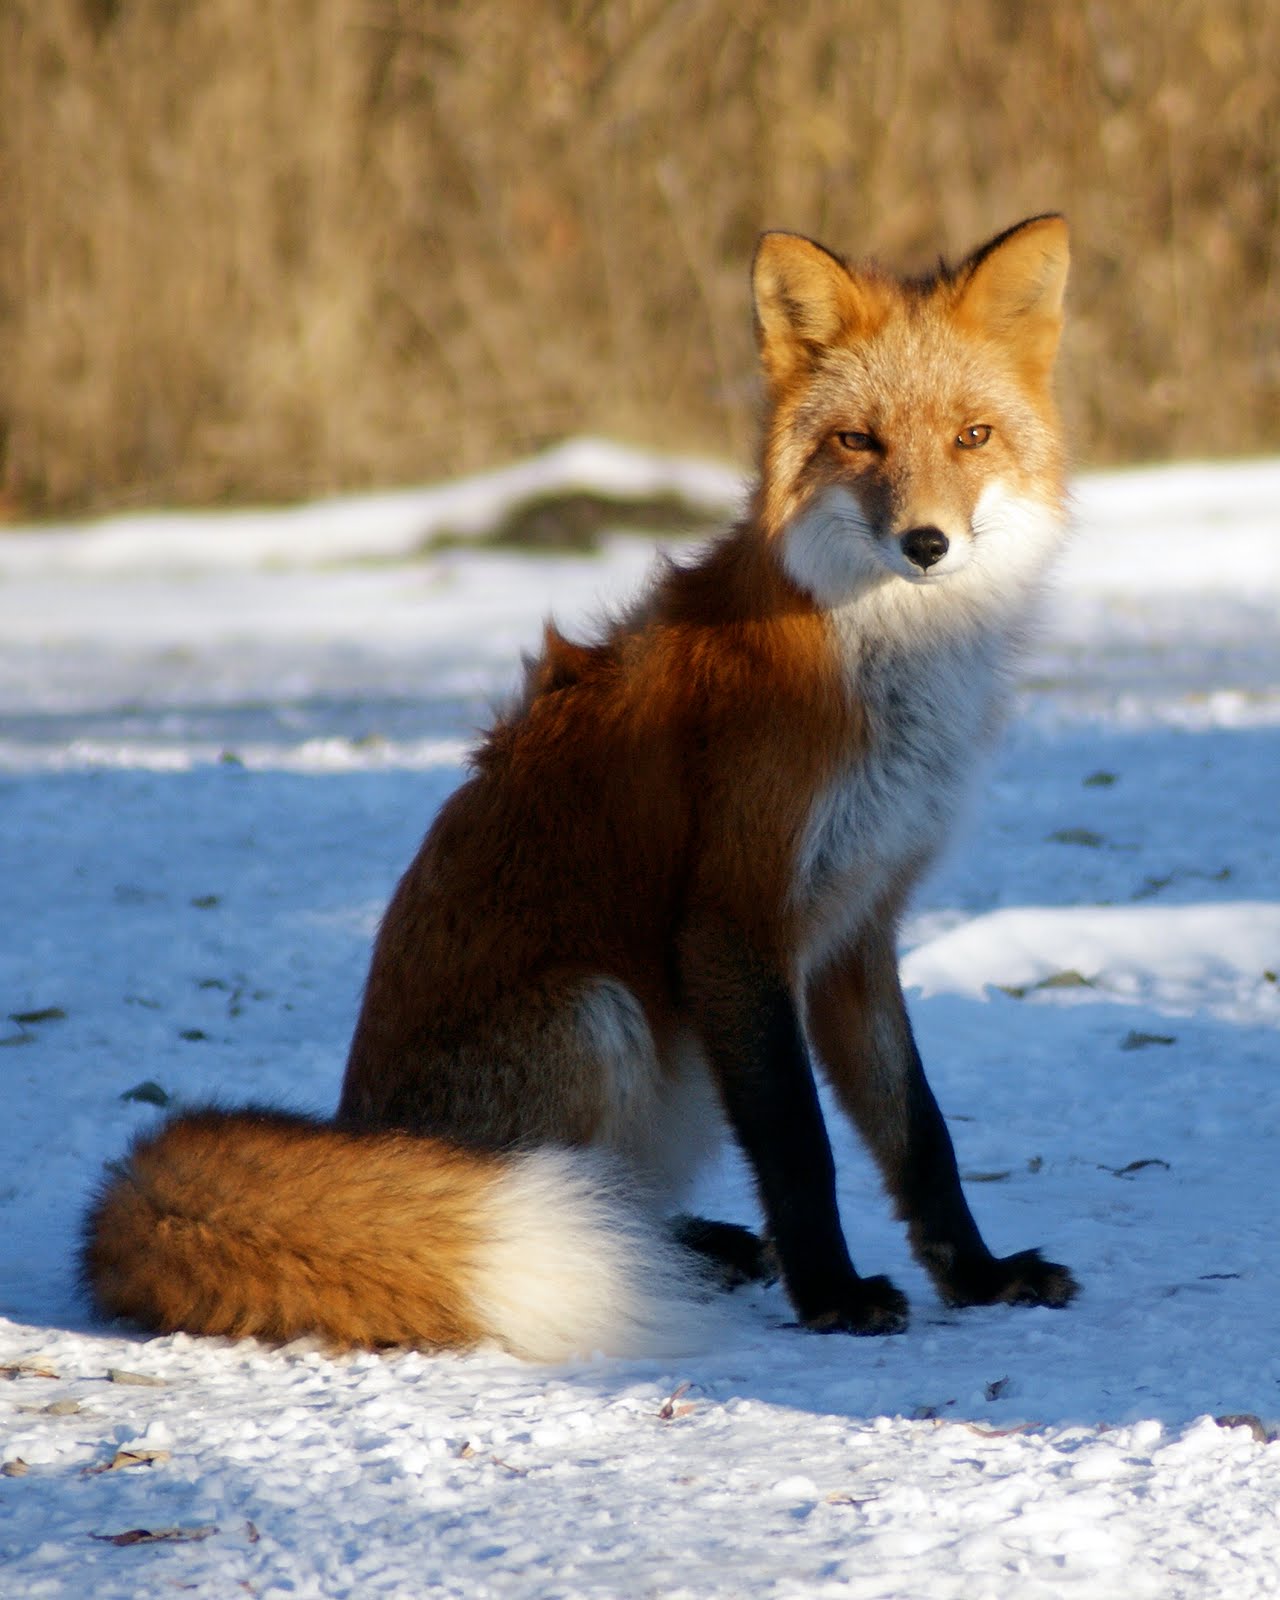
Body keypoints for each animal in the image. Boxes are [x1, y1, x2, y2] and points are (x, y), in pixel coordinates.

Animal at [82, 215, 1080, 1362]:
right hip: (602, 1017)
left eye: (972, 436)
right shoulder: (733, 920)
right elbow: (799, 1143)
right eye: (858, 442)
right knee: (562, 1192)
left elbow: (919, 1133)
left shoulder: (857, 925)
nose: (924, 542)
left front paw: (980, 1276)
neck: (884, 666)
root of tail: (361, 1128)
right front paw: (831, 1294)